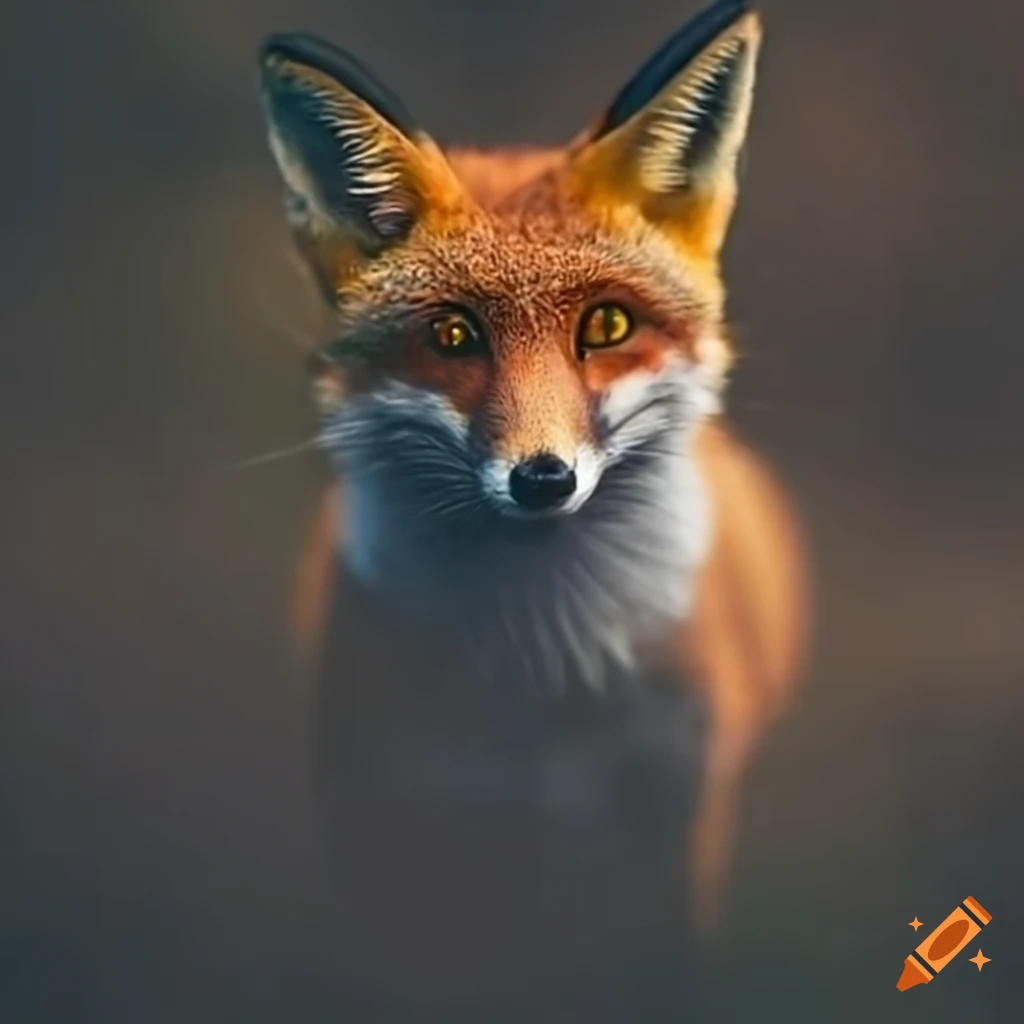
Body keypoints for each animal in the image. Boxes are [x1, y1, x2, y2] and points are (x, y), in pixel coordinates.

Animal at [260, 0, 808, 1007]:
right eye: (453, 336)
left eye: (607, 326)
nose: (544, 479)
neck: (544, 683)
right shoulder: (397, 813)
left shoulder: (666, 819)